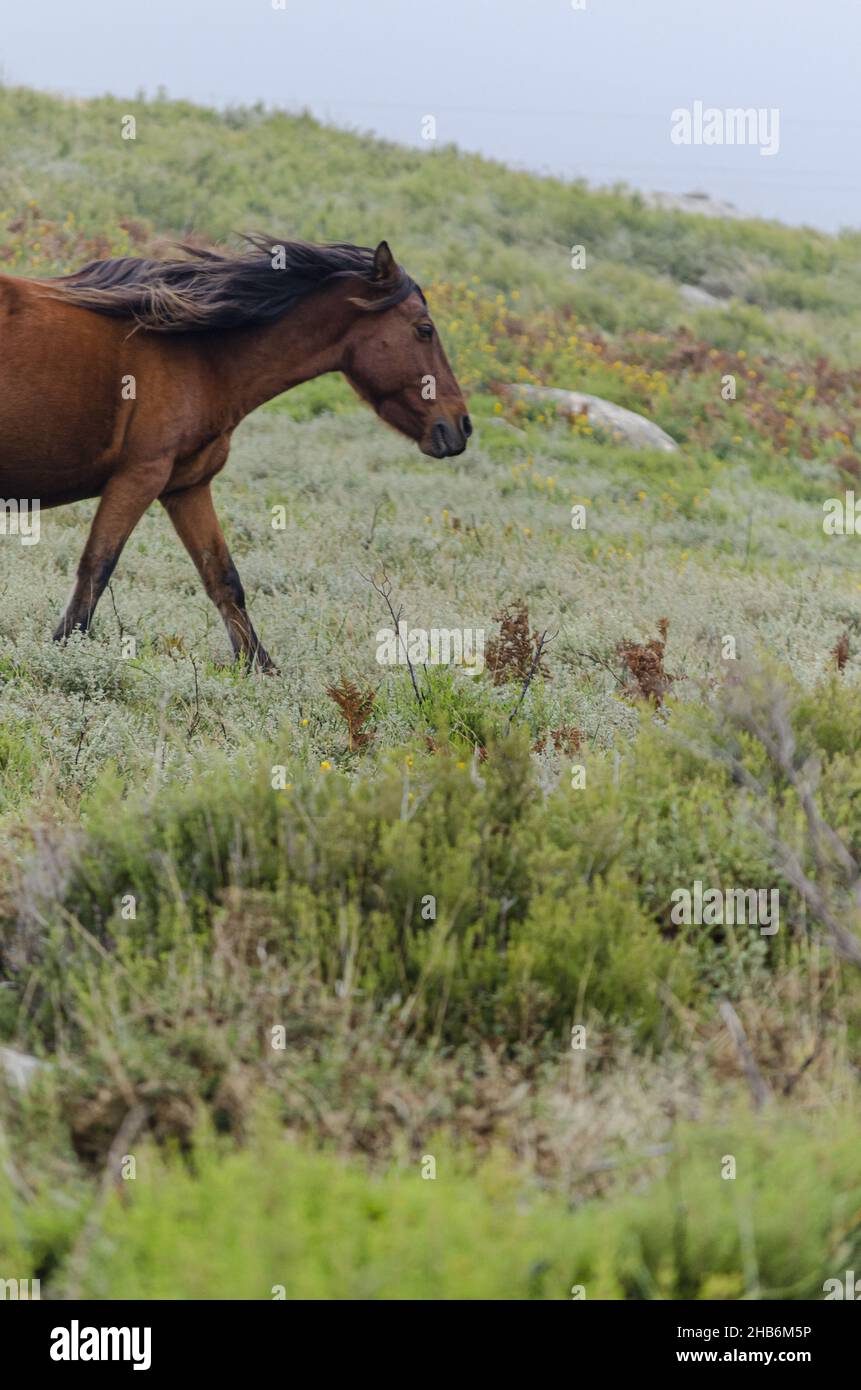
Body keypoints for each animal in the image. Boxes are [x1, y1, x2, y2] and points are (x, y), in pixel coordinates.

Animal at [0, 237, 471, 670]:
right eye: (424, 329)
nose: (461, 426)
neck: (201, 355)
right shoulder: (138, 478)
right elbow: (96, 569)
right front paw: (62, 656)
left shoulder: (186, 488)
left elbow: (224, 579)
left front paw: (260, 667)